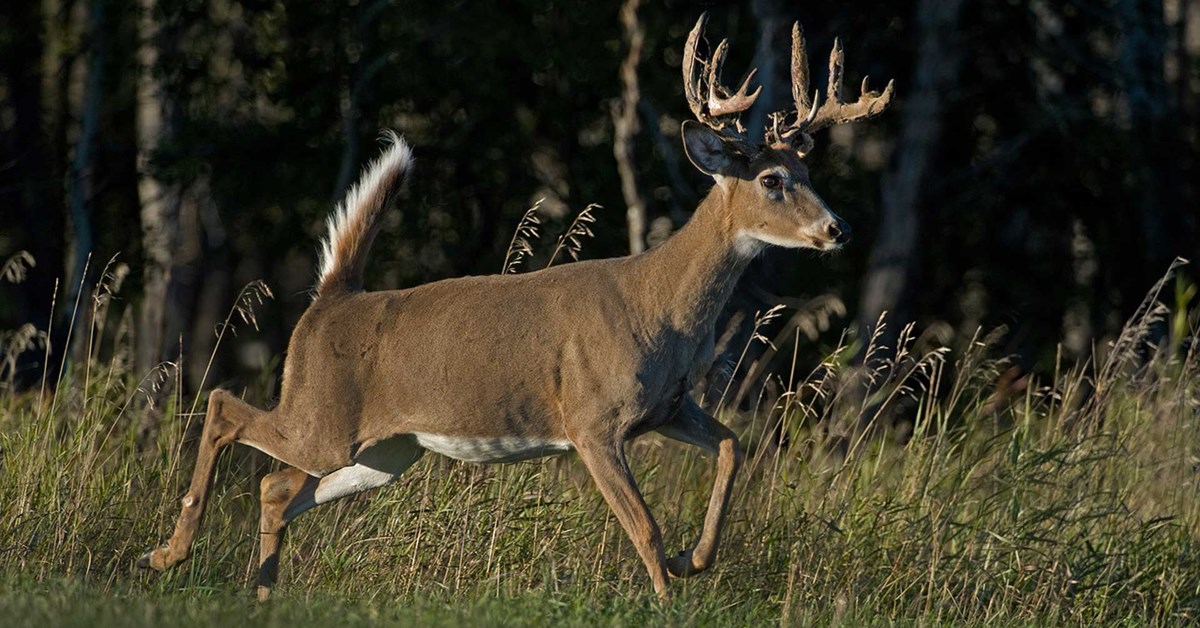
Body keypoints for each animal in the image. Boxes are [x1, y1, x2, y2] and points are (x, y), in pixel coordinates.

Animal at [138, 13, 894, 602]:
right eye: (773, 180)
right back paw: (168, 554)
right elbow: (644, 526)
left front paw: (695, 559)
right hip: (321, 416)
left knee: (272, 485)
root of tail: (332, 299)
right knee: (224, 408)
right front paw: (668, 596)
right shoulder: (592, 419)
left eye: (809, 172)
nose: (838, 229)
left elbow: (734, 447)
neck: (662, 309)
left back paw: (263, 592)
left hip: (385, 450)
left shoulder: (667, 408)